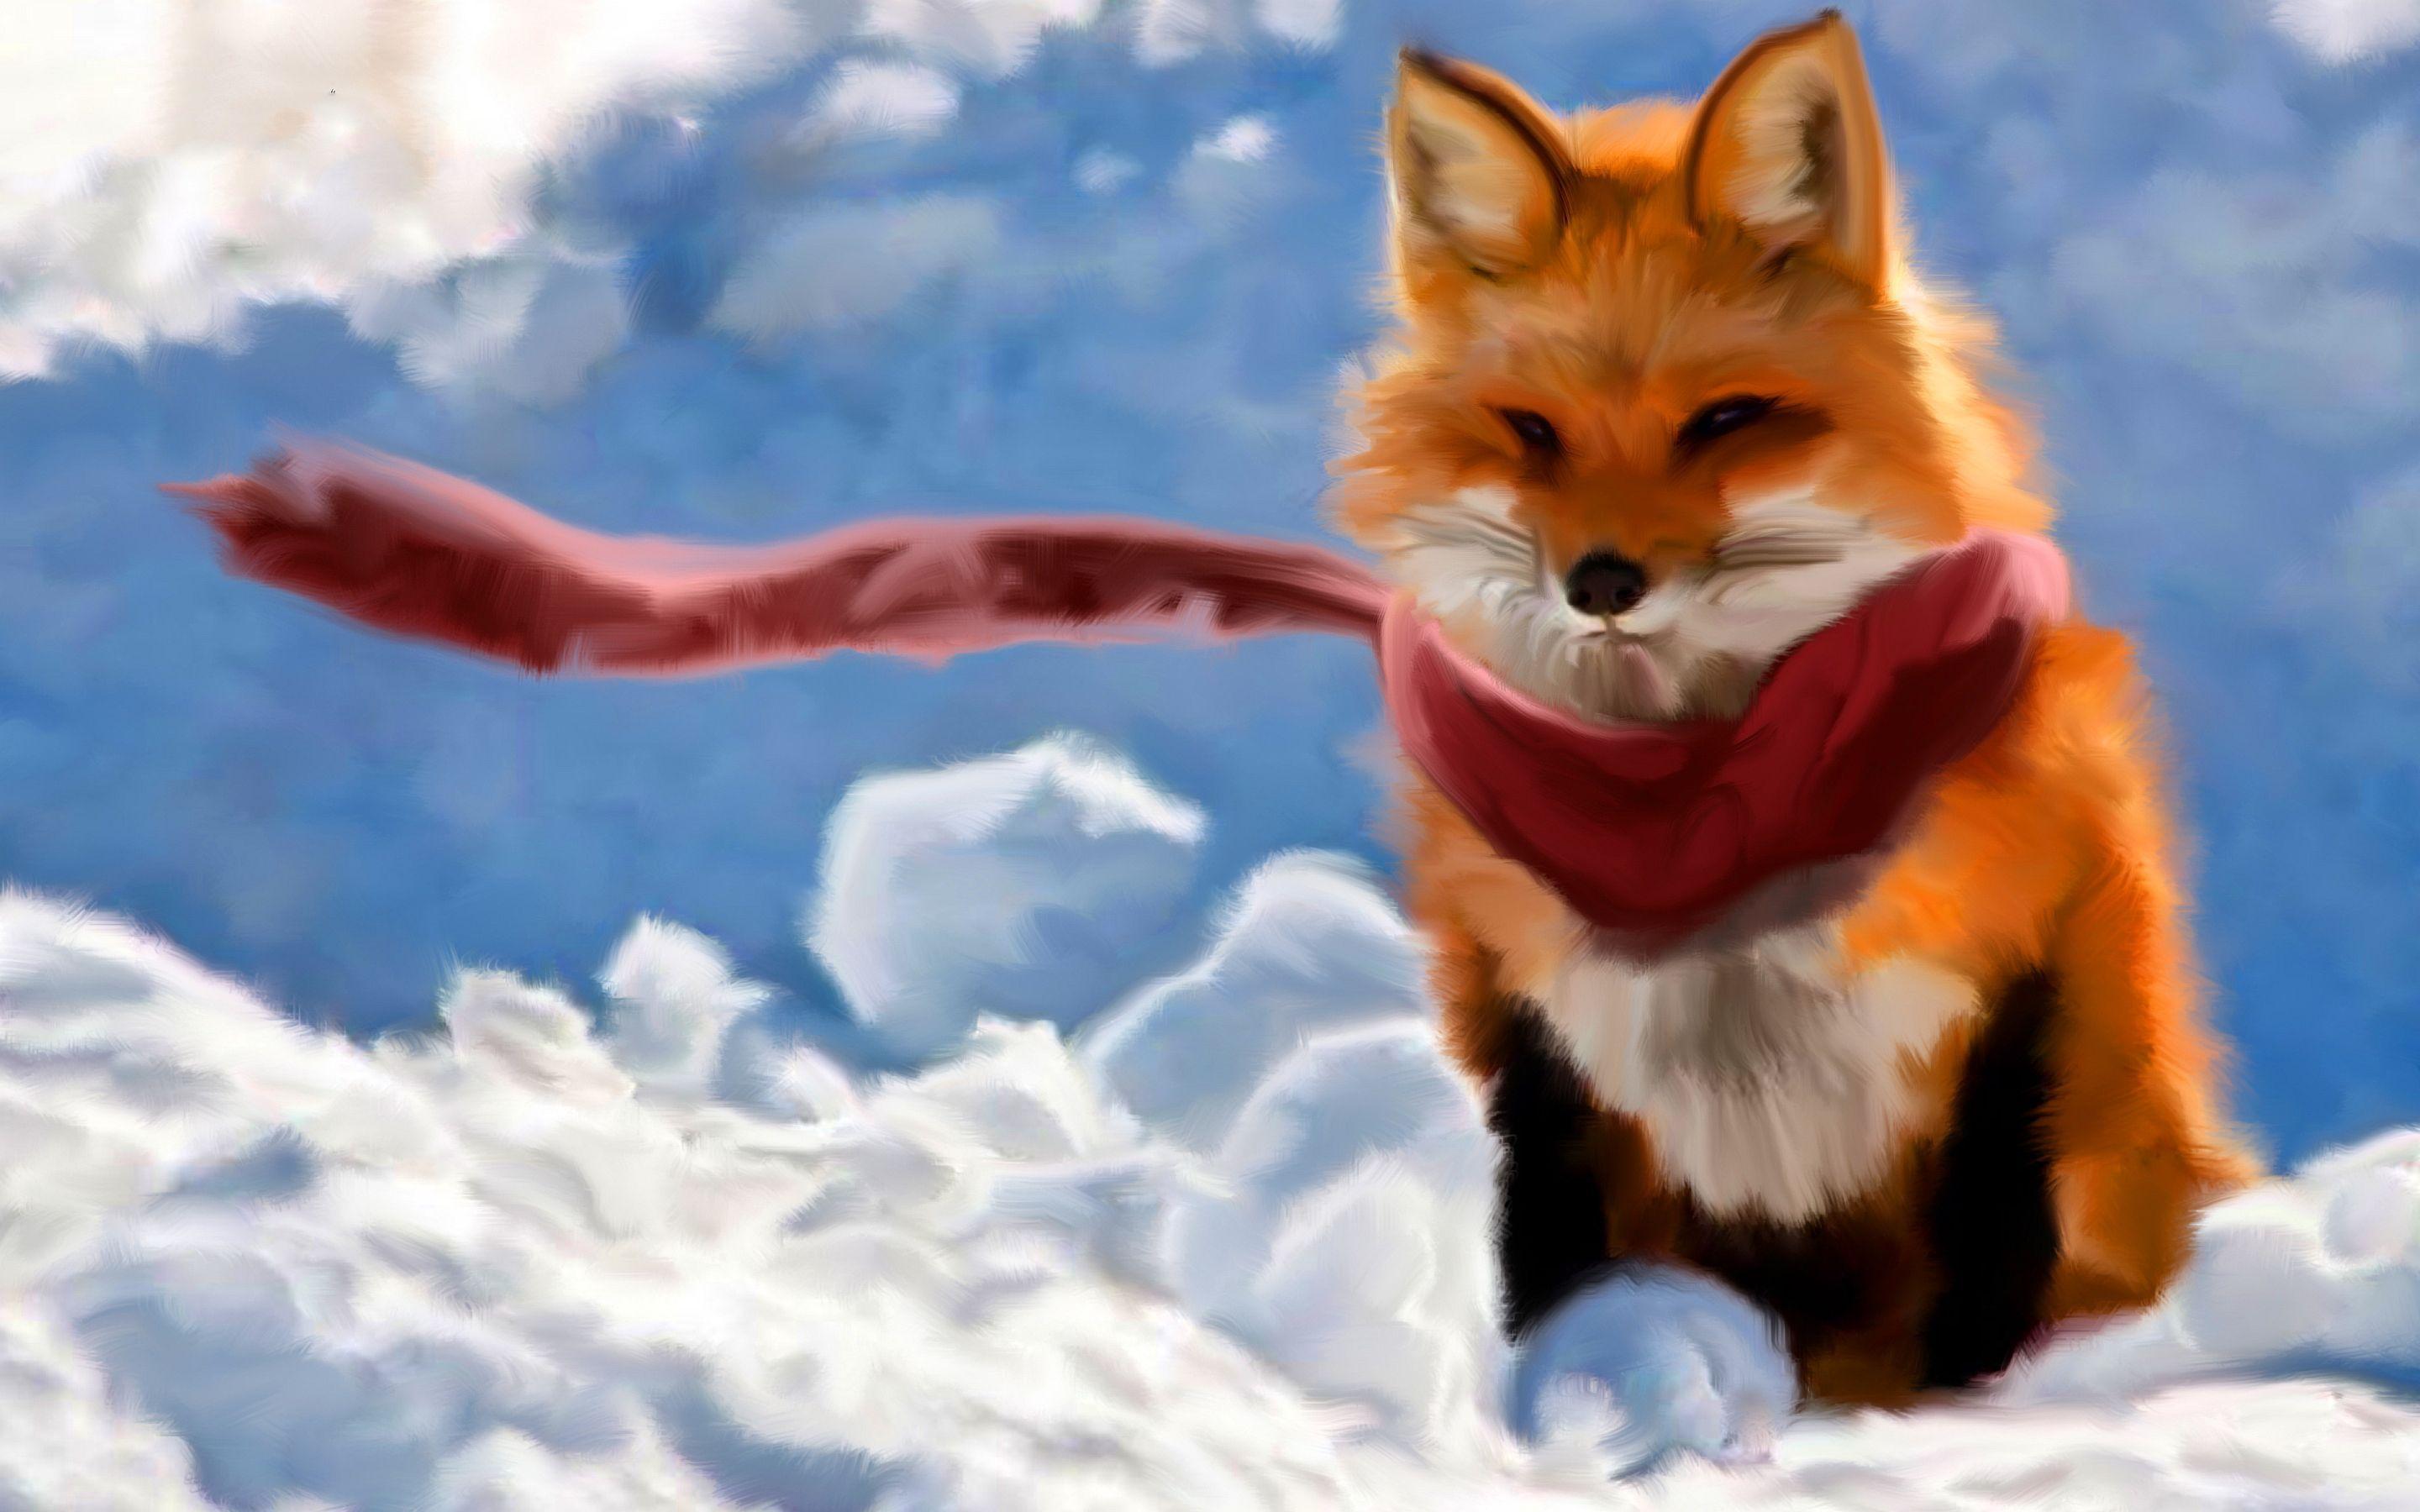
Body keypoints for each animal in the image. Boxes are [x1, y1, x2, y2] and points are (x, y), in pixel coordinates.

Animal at [1331, 11, 2260, 1404]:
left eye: (1726, 421)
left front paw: (1964, 1423)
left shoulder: (2022, 999)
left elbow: (1985, 1287)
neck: (1699, 808)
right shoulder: (1535, 1036)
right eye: (1533, 432)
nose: (1601, 583)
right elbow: (1555, 1265)